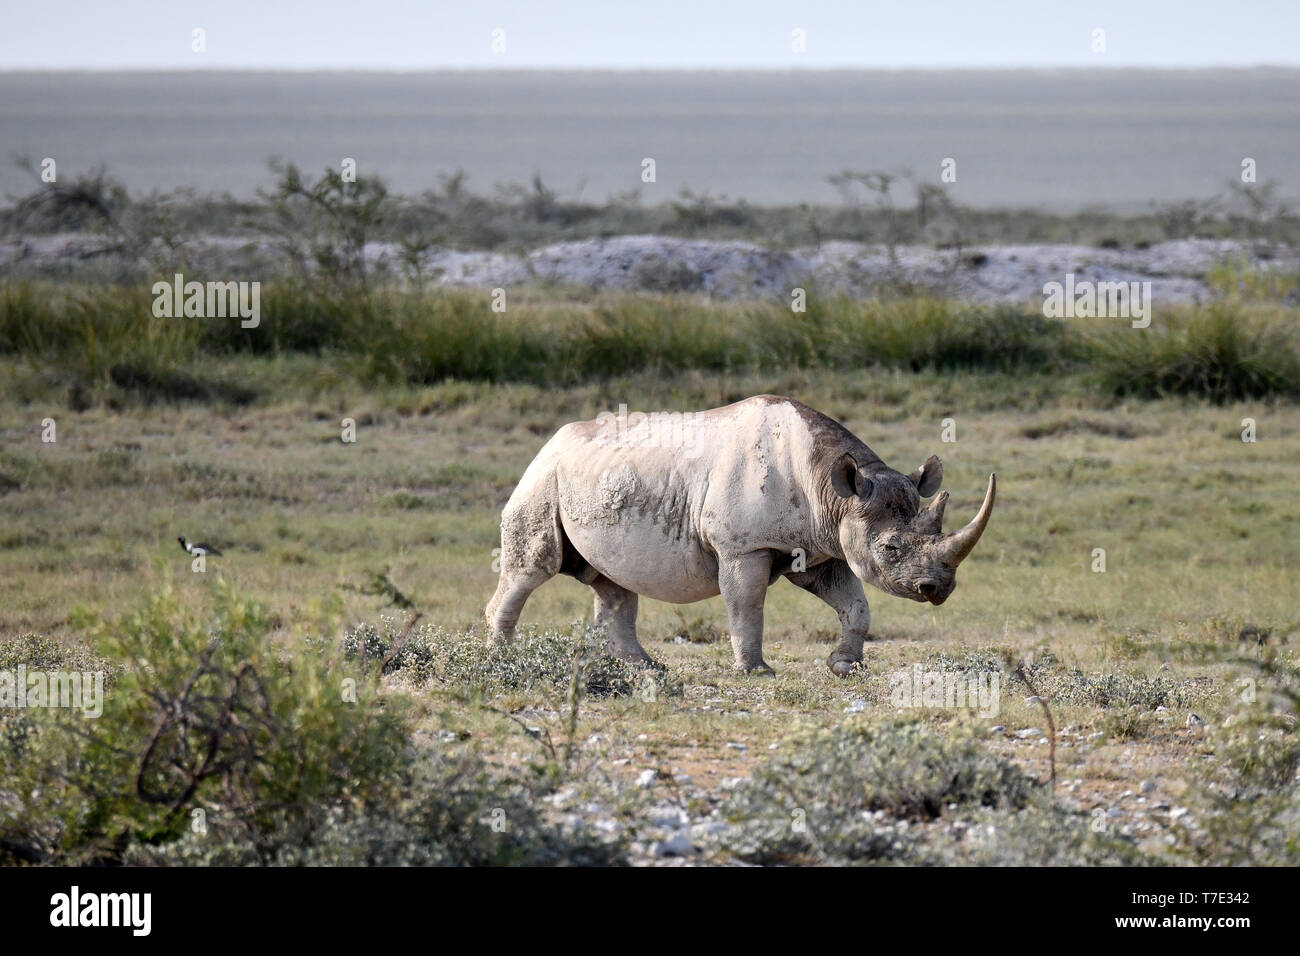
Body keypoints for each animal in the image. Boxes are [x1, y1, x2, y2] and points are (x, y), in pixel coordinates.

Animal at [487, 395, 995, 675]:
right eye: (889, 548)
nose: (938, 589)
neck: (833, 490)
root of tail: (550, 442)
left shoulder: (821, 548)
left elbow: (856, 606)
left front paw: (844, 666)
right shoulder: (742, 546)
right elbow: (747, 604)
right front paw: (757, 671)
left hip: (591, 475)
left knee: (612, 583)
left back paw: (648, 669)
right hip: (543, 478)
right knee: (532, 567)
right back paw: (501, 662)